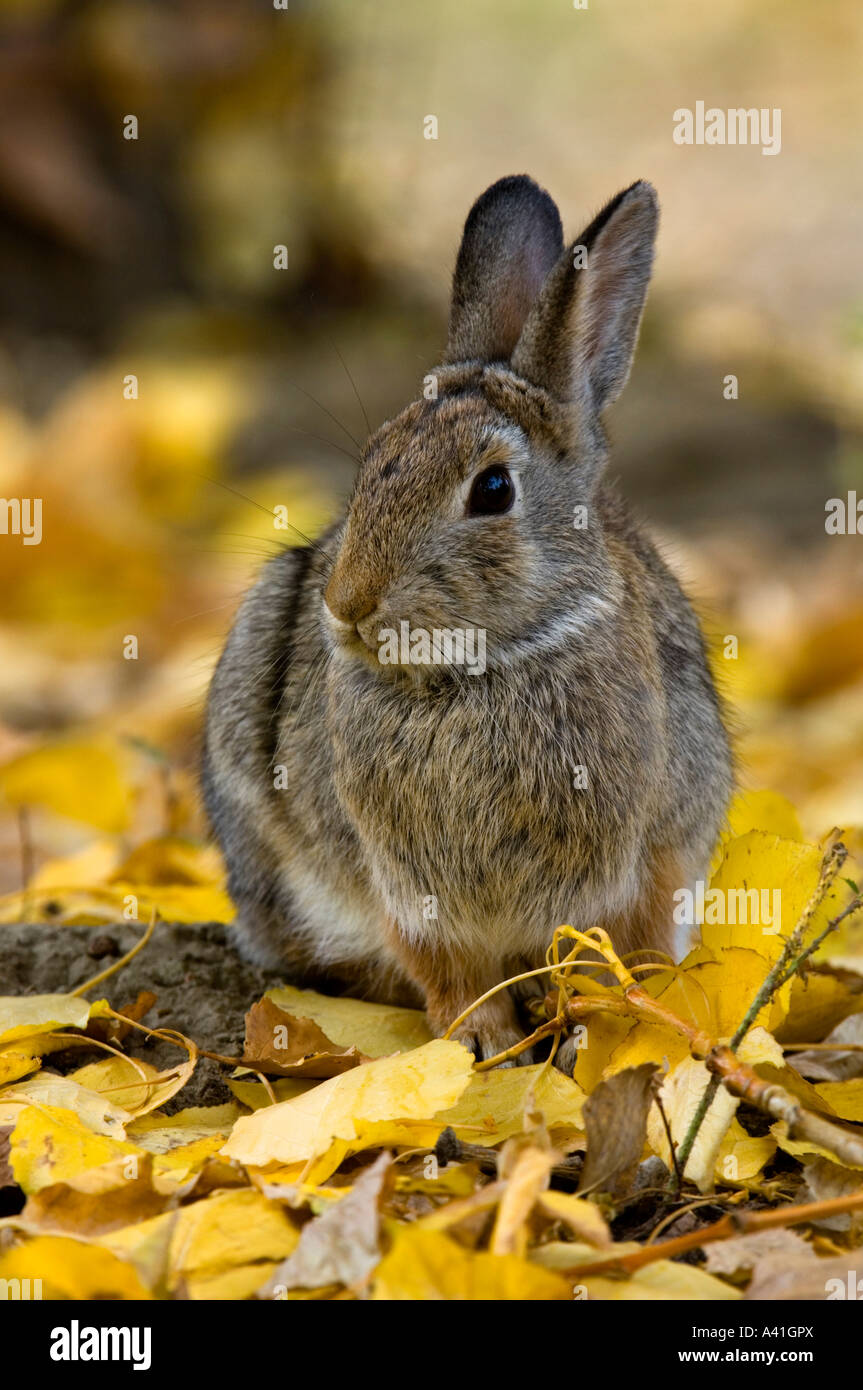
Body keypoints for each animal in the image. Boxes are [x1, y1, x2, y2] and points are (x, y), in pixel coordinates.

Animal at [203, 174, 733, 1064]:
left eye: (491, 490)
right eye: (373, 461)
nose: (347, 605)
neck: (486, 666)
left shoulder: (645, 866)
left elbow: (624, 953)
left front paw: (602, 1034)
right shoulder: (409, 893)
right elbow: (449, 971)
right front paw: (482, 1045)